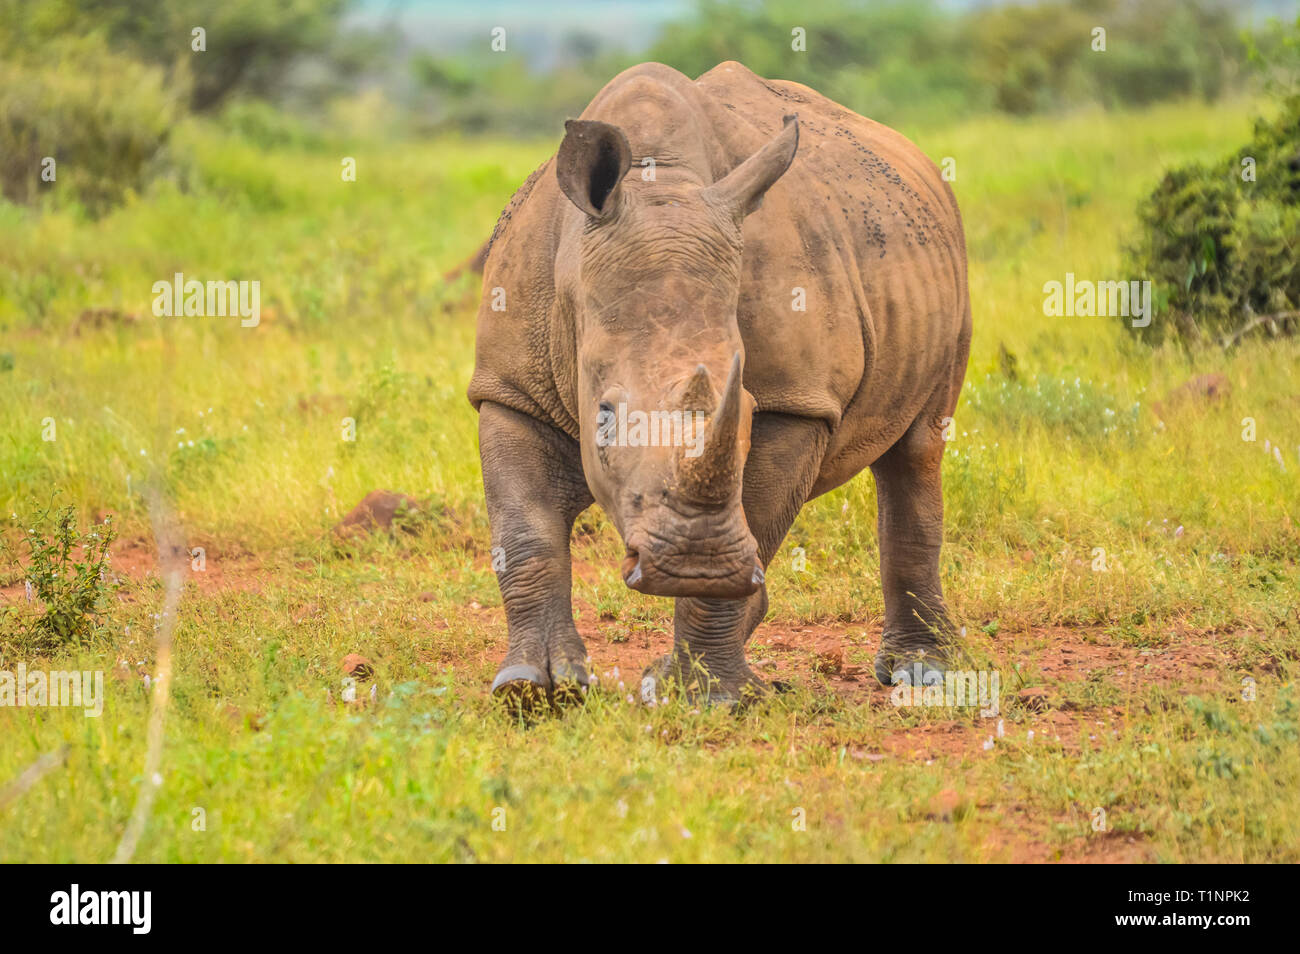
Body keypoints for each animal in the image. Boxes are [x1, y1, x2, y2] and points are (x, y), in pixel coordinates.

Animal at [468, 61, 971, 705]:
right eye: (603, 415)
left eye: (749, 413)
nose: (693, 561)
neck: (660, 182)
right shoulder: (509, 390)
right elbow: (525, 534)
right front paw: (535, 689)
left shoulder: (796, 400)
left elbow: (755, 515)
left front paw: (706, 696)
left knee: (918, 450)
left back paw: (925, 674)